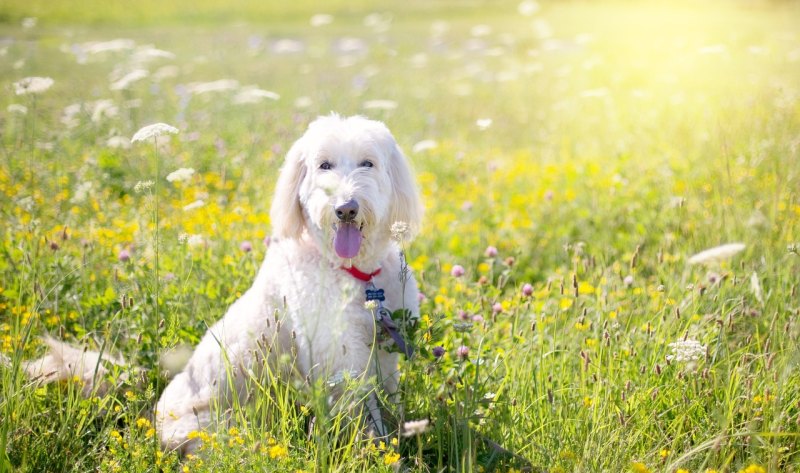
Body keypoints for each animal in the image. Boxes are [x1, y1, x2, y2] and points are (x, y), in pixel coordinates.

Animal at [152, 113, 422, 450]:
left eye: (367, 163)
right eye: (324, 165)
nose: (346, 209)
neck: (354, 274)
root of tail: (158, 425)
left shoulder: (383, 351)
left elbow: (387, 395)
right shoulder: (342, 358)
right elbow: (363, 412)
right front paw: (373, 447)